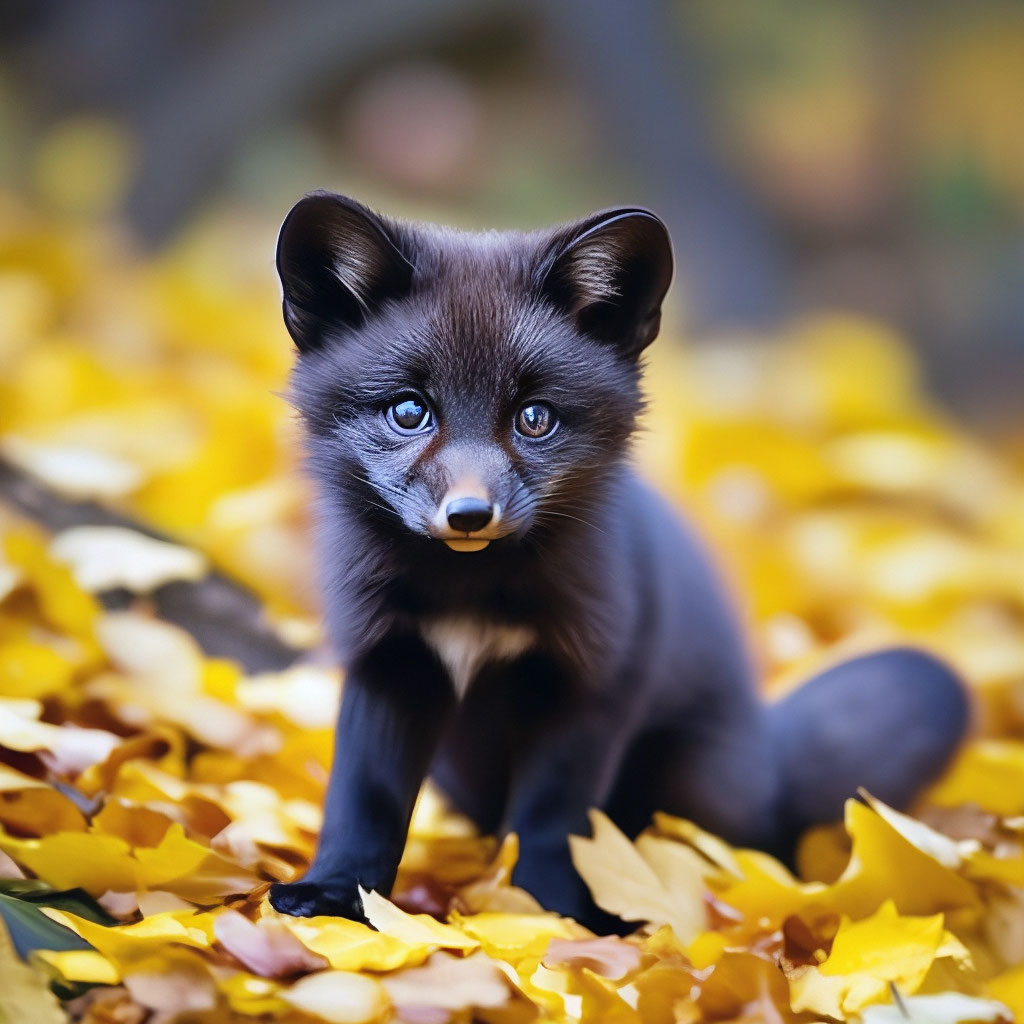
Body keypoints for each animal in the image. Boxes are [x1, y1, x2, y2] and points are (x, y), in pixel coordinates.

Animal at [267, 191, 969, 927]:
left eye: (534, 418)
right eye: (409, 411)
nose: (469, 515)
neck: (468, 597)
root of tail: (766, 760)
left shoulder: (590, 689)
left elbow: (553, 823)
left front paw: (542, 915)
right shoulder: (388, 665)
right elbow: (362, 800)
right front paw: (336, 895)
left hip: (684, 784)